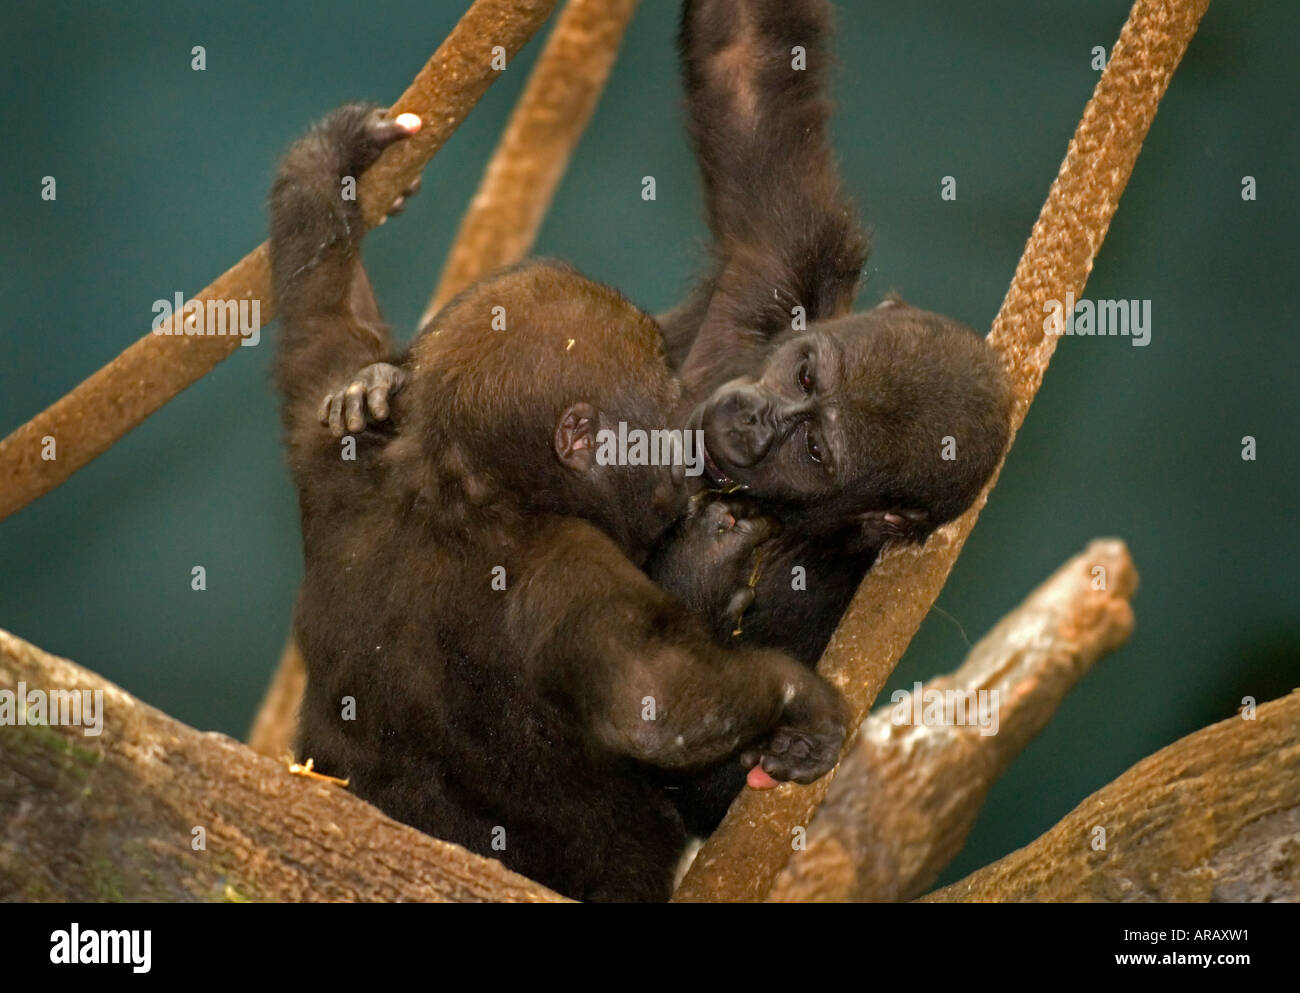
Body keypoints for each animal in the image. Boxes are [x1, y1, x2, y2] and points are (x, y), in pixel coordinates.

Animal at [270, 102, 849, 901]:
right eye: (657, 419)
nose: (684, 452)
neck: (459, 475)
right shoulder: (567, 560)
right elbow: (657, 699)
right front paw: (800, 694)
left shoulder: (327, 449)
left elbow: (315, 312)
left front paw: (333, 160)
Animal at [322, 0, 1012, 836]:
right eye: (805, 372)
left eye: (815, 448)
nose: (755, 419)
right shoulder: (782, 275)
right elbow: (747, 69)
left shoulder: (843, 594)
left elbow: (716, 778)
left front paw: (709, 564)